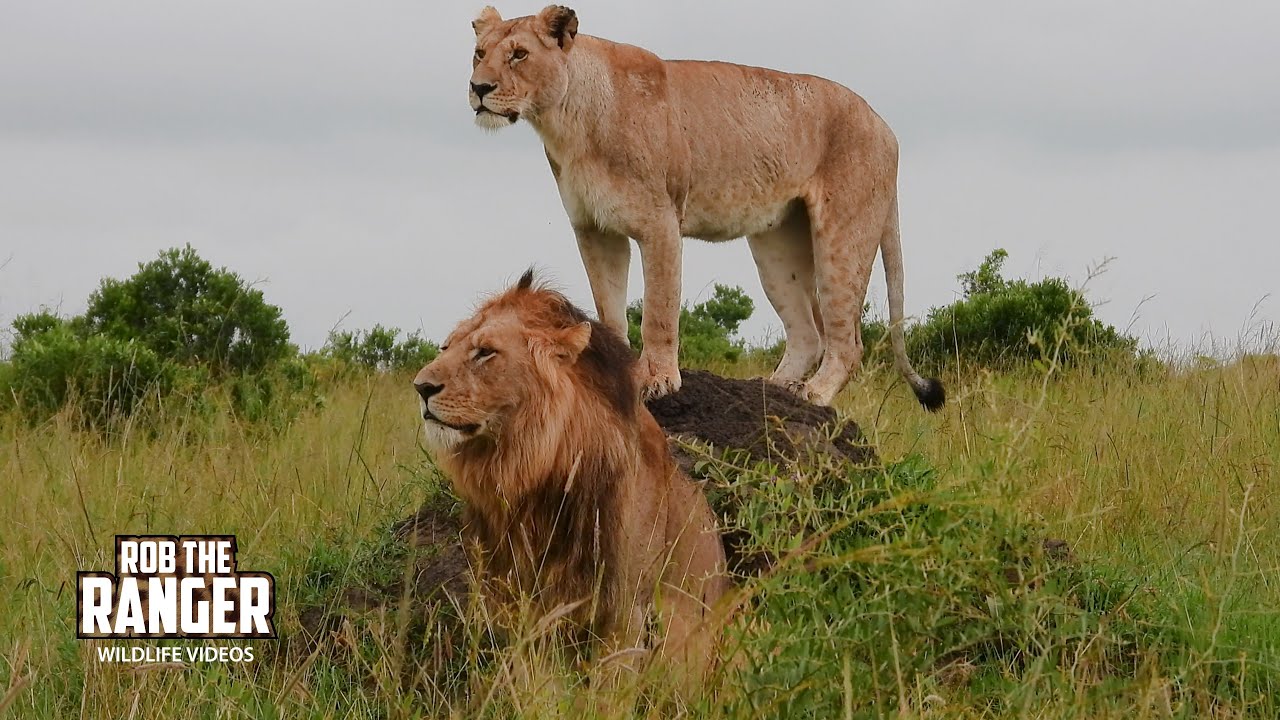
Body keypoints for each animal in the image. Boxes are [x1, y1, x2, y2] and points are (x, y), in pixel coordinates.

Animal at [412, 269, 728, 684]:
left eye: (485, 352)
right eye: (445, 347)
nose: (421, 387)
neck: (529, 470)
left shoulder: (625, 606)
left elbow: (611, 687)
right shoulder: (527, 603)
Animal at [468, 5, 945, 409]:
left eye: (518, 55)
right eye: (479, 53)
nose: (478, 88)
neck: (566, 124)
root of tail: (887, 127)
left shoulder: (659, 222)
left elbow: (658, 310)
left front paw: (658, 380)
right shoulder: (594, 228)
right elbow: (609, 308)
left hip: (843, 234)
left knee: (847, 341)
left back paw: (813, 395)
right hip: (776, 246)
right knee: (809, 333)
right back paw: (773, 390)